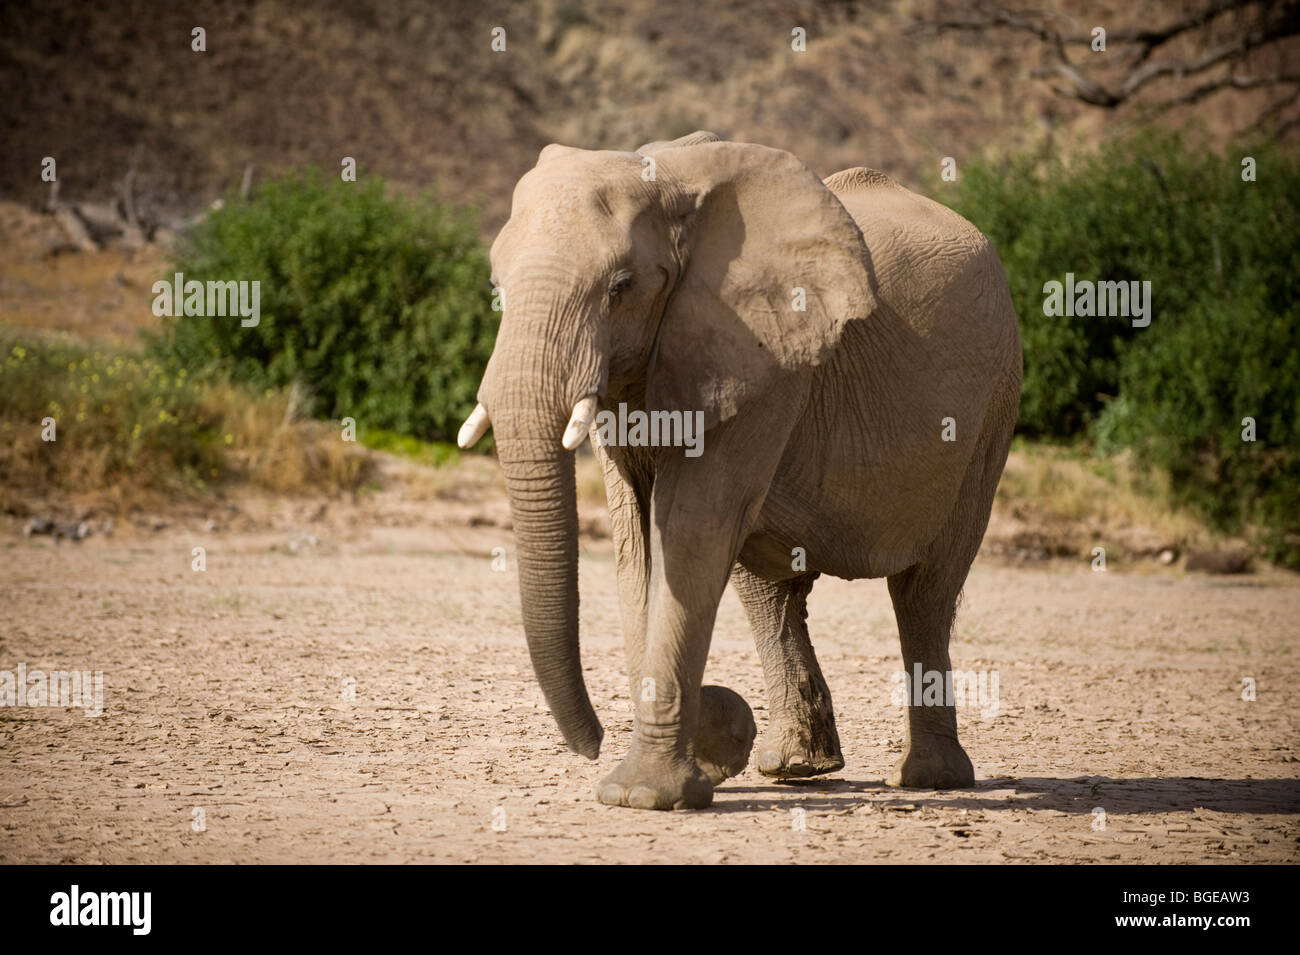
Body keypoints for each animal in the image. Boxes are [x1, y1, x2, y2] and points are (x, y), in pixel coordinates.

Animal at [457, 131, 1022, 810]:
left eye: (622, 285)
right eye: (495, 283)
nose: (591, 745)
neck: (667, 181)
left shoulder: (765, 360)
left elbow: (691, 526)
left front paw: (643, 796)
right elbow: (636, 540)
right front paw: (694, 760)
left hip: (993, 409)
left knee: (924, 591)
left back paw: (928, 779)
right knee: (769, 587)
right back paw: (794, 767)